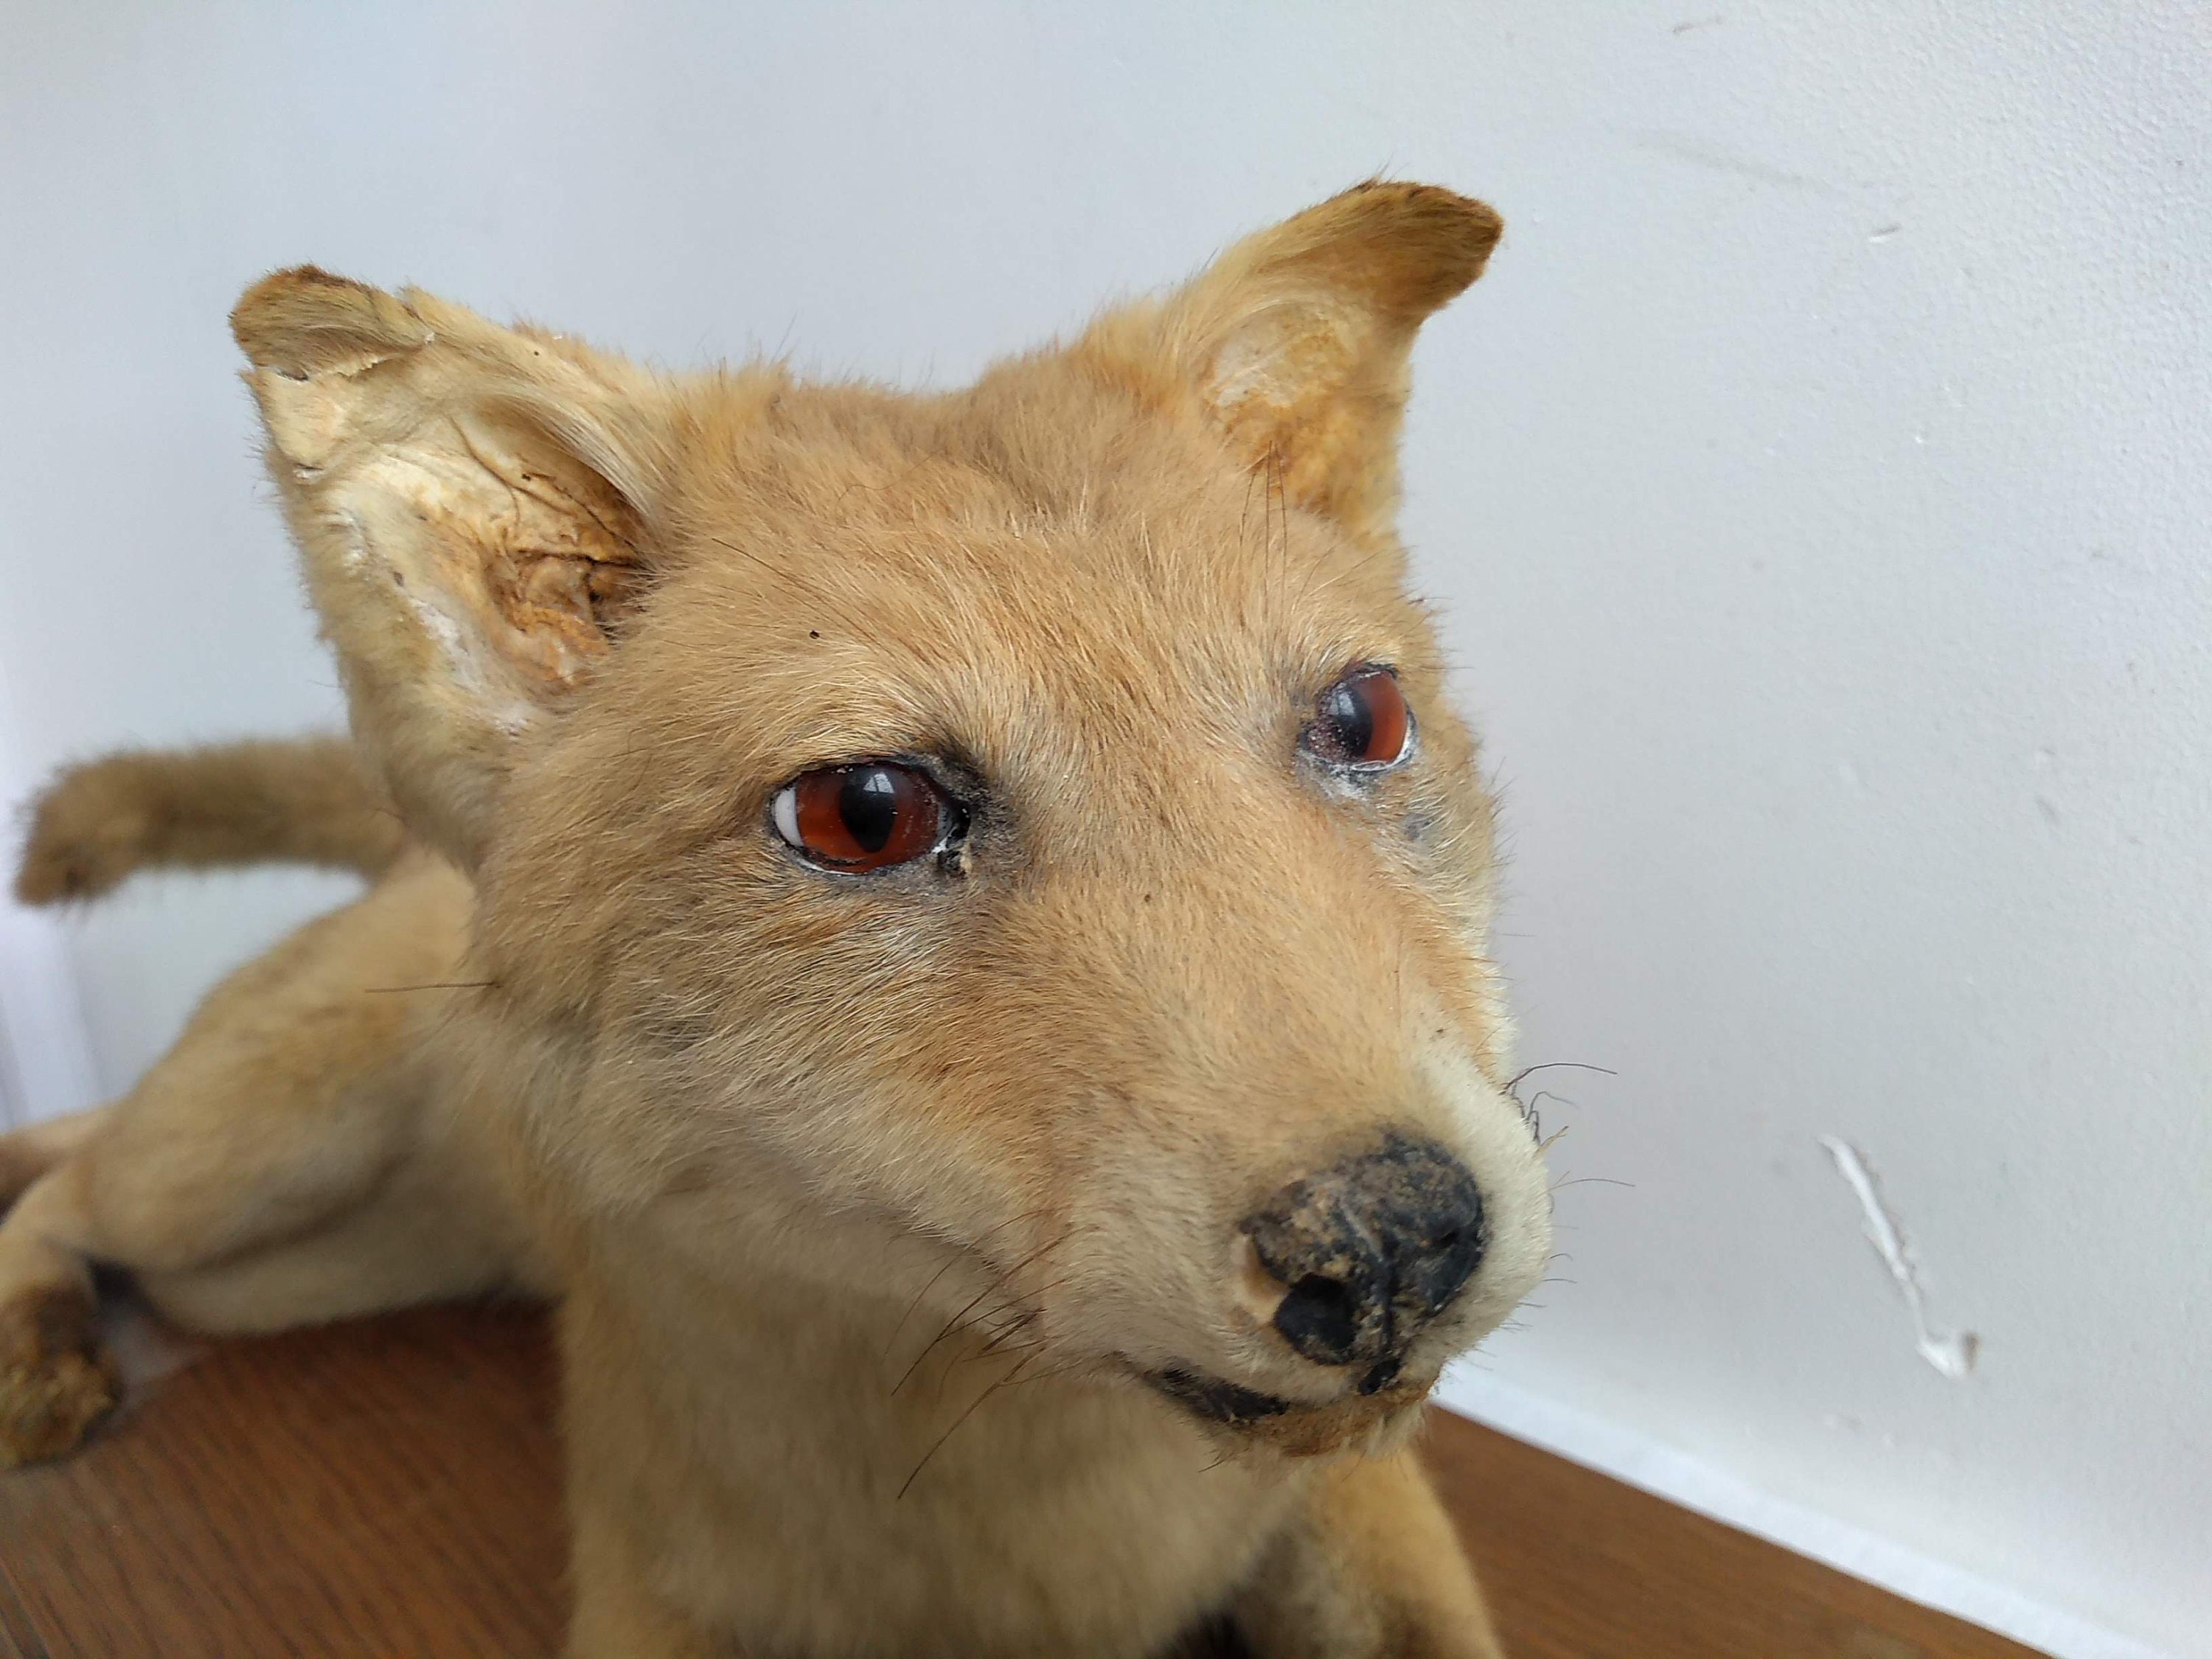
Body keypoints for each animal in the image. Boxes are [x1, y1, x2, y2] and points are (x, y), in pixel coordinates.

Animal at [0, 182, 1551, 1657]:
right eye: (867, 814)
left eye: (1366, 718)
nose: (1396, 1241)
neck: (1041, 1548)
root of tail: (410, 858)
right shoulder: (655, 1601)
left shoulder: (1352, 1498)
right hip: (236, 1172)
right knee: (76, 1172)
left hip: (292, 1266)